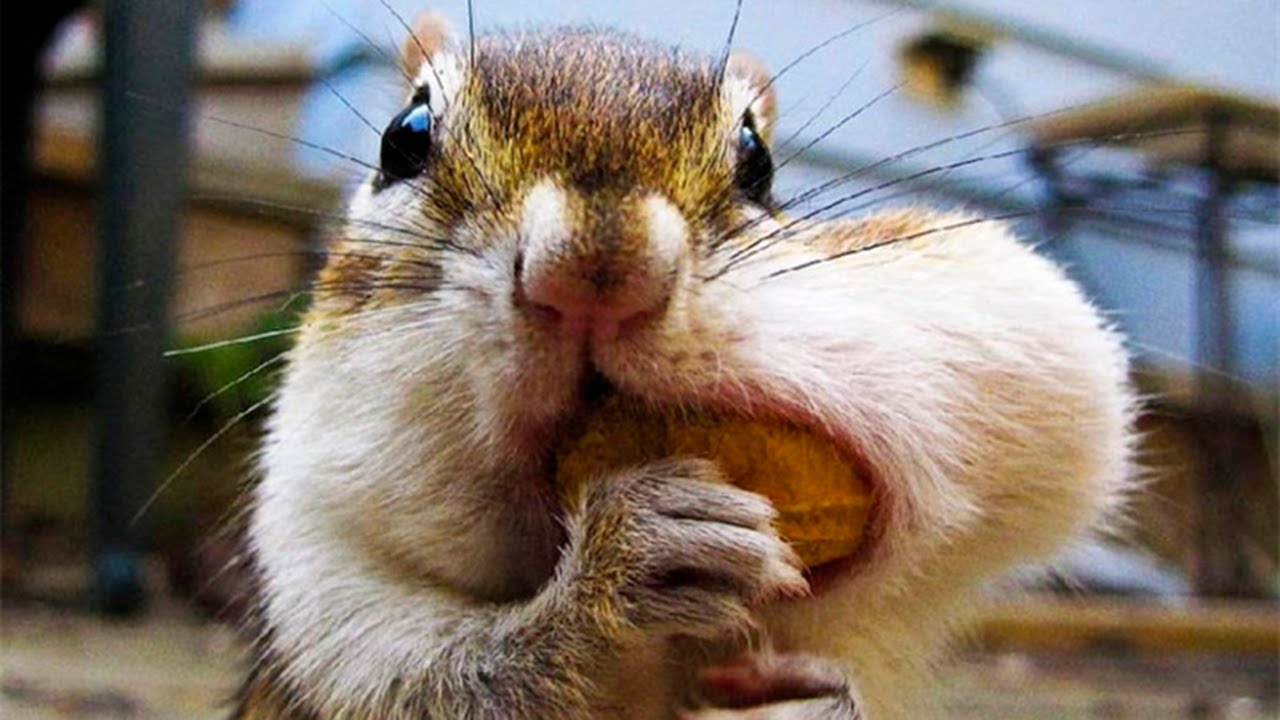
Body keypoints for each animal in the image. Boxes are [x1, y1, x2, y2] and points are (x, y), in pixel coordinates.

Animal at [233, 10, 1136, 720]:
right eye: (404, 138)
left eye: (759, 161)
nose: (597, 272)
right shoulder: (326, 603)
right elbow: (449, 684)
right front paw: (634, 560)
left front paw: (806, 699)